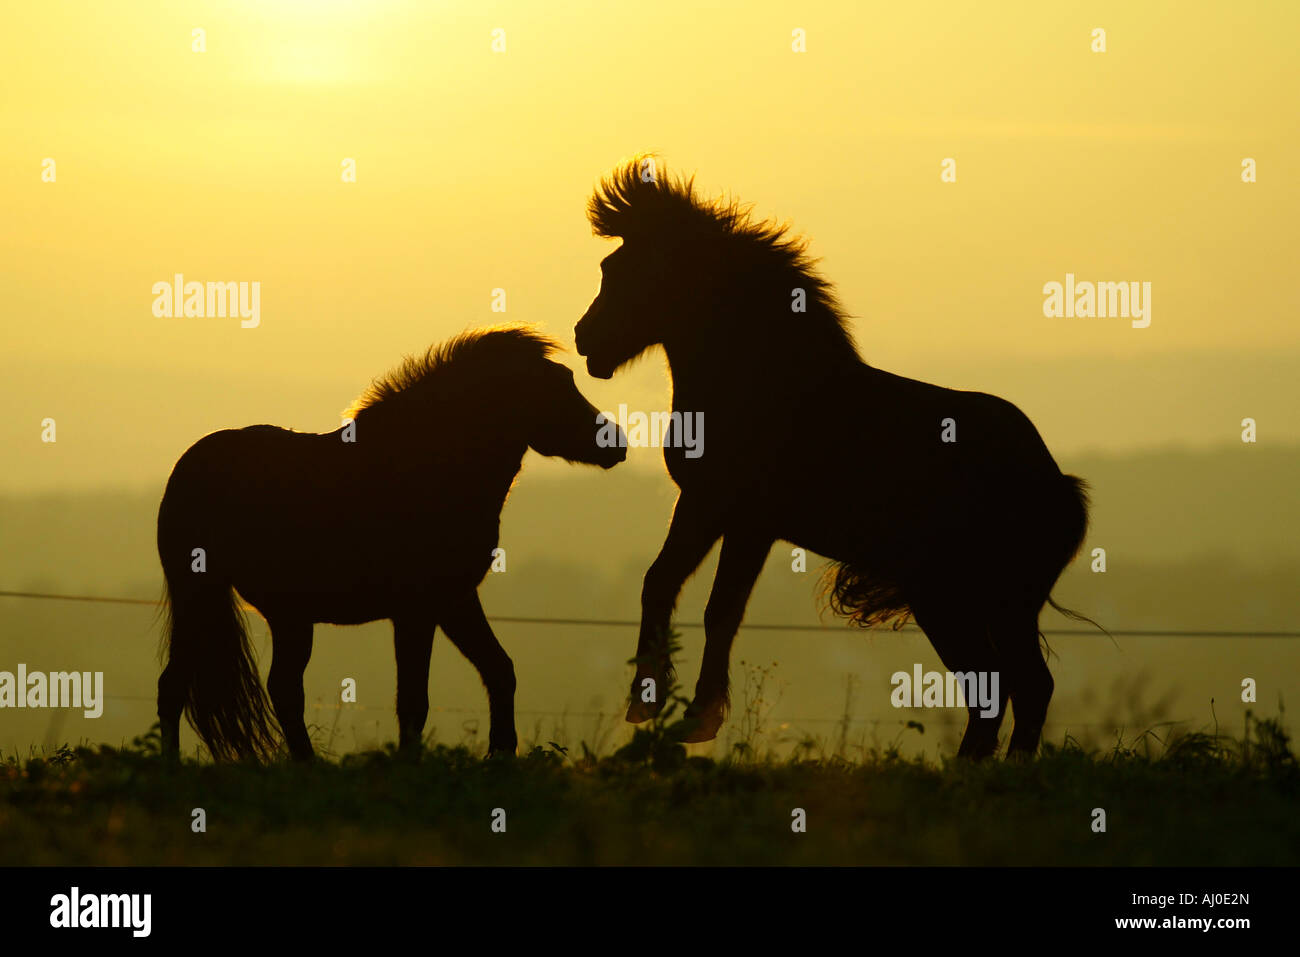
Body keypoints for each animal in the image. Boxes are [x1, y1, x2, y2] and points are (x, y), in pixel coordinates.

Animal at [156, 325, 626, 761]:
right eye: (556, 387)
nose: (617, 442)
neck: (426, 465)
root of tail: (188, 468)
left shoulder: (453, 601)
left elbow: (499, 670)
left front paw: (501, 754)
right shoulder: (418, 610)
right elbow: (414, 700)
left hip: (280, 615)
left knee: (231, 688)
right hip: (212, 599)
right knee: (218, 688)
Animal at [574, 156, 1092, 759]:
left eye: (628, 267)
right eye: (611, 263)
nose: (586, 339)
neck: (758, 382)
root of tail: (1057, 482)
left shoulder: (744, 520)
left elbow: (720, 609)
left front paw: (697, 717)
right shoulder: (704, 507)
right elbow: (660, 581)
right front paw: (648, 702)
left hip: (965, 599)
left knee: (1011, 684)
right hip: (970, 600)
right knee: (1012, 685)